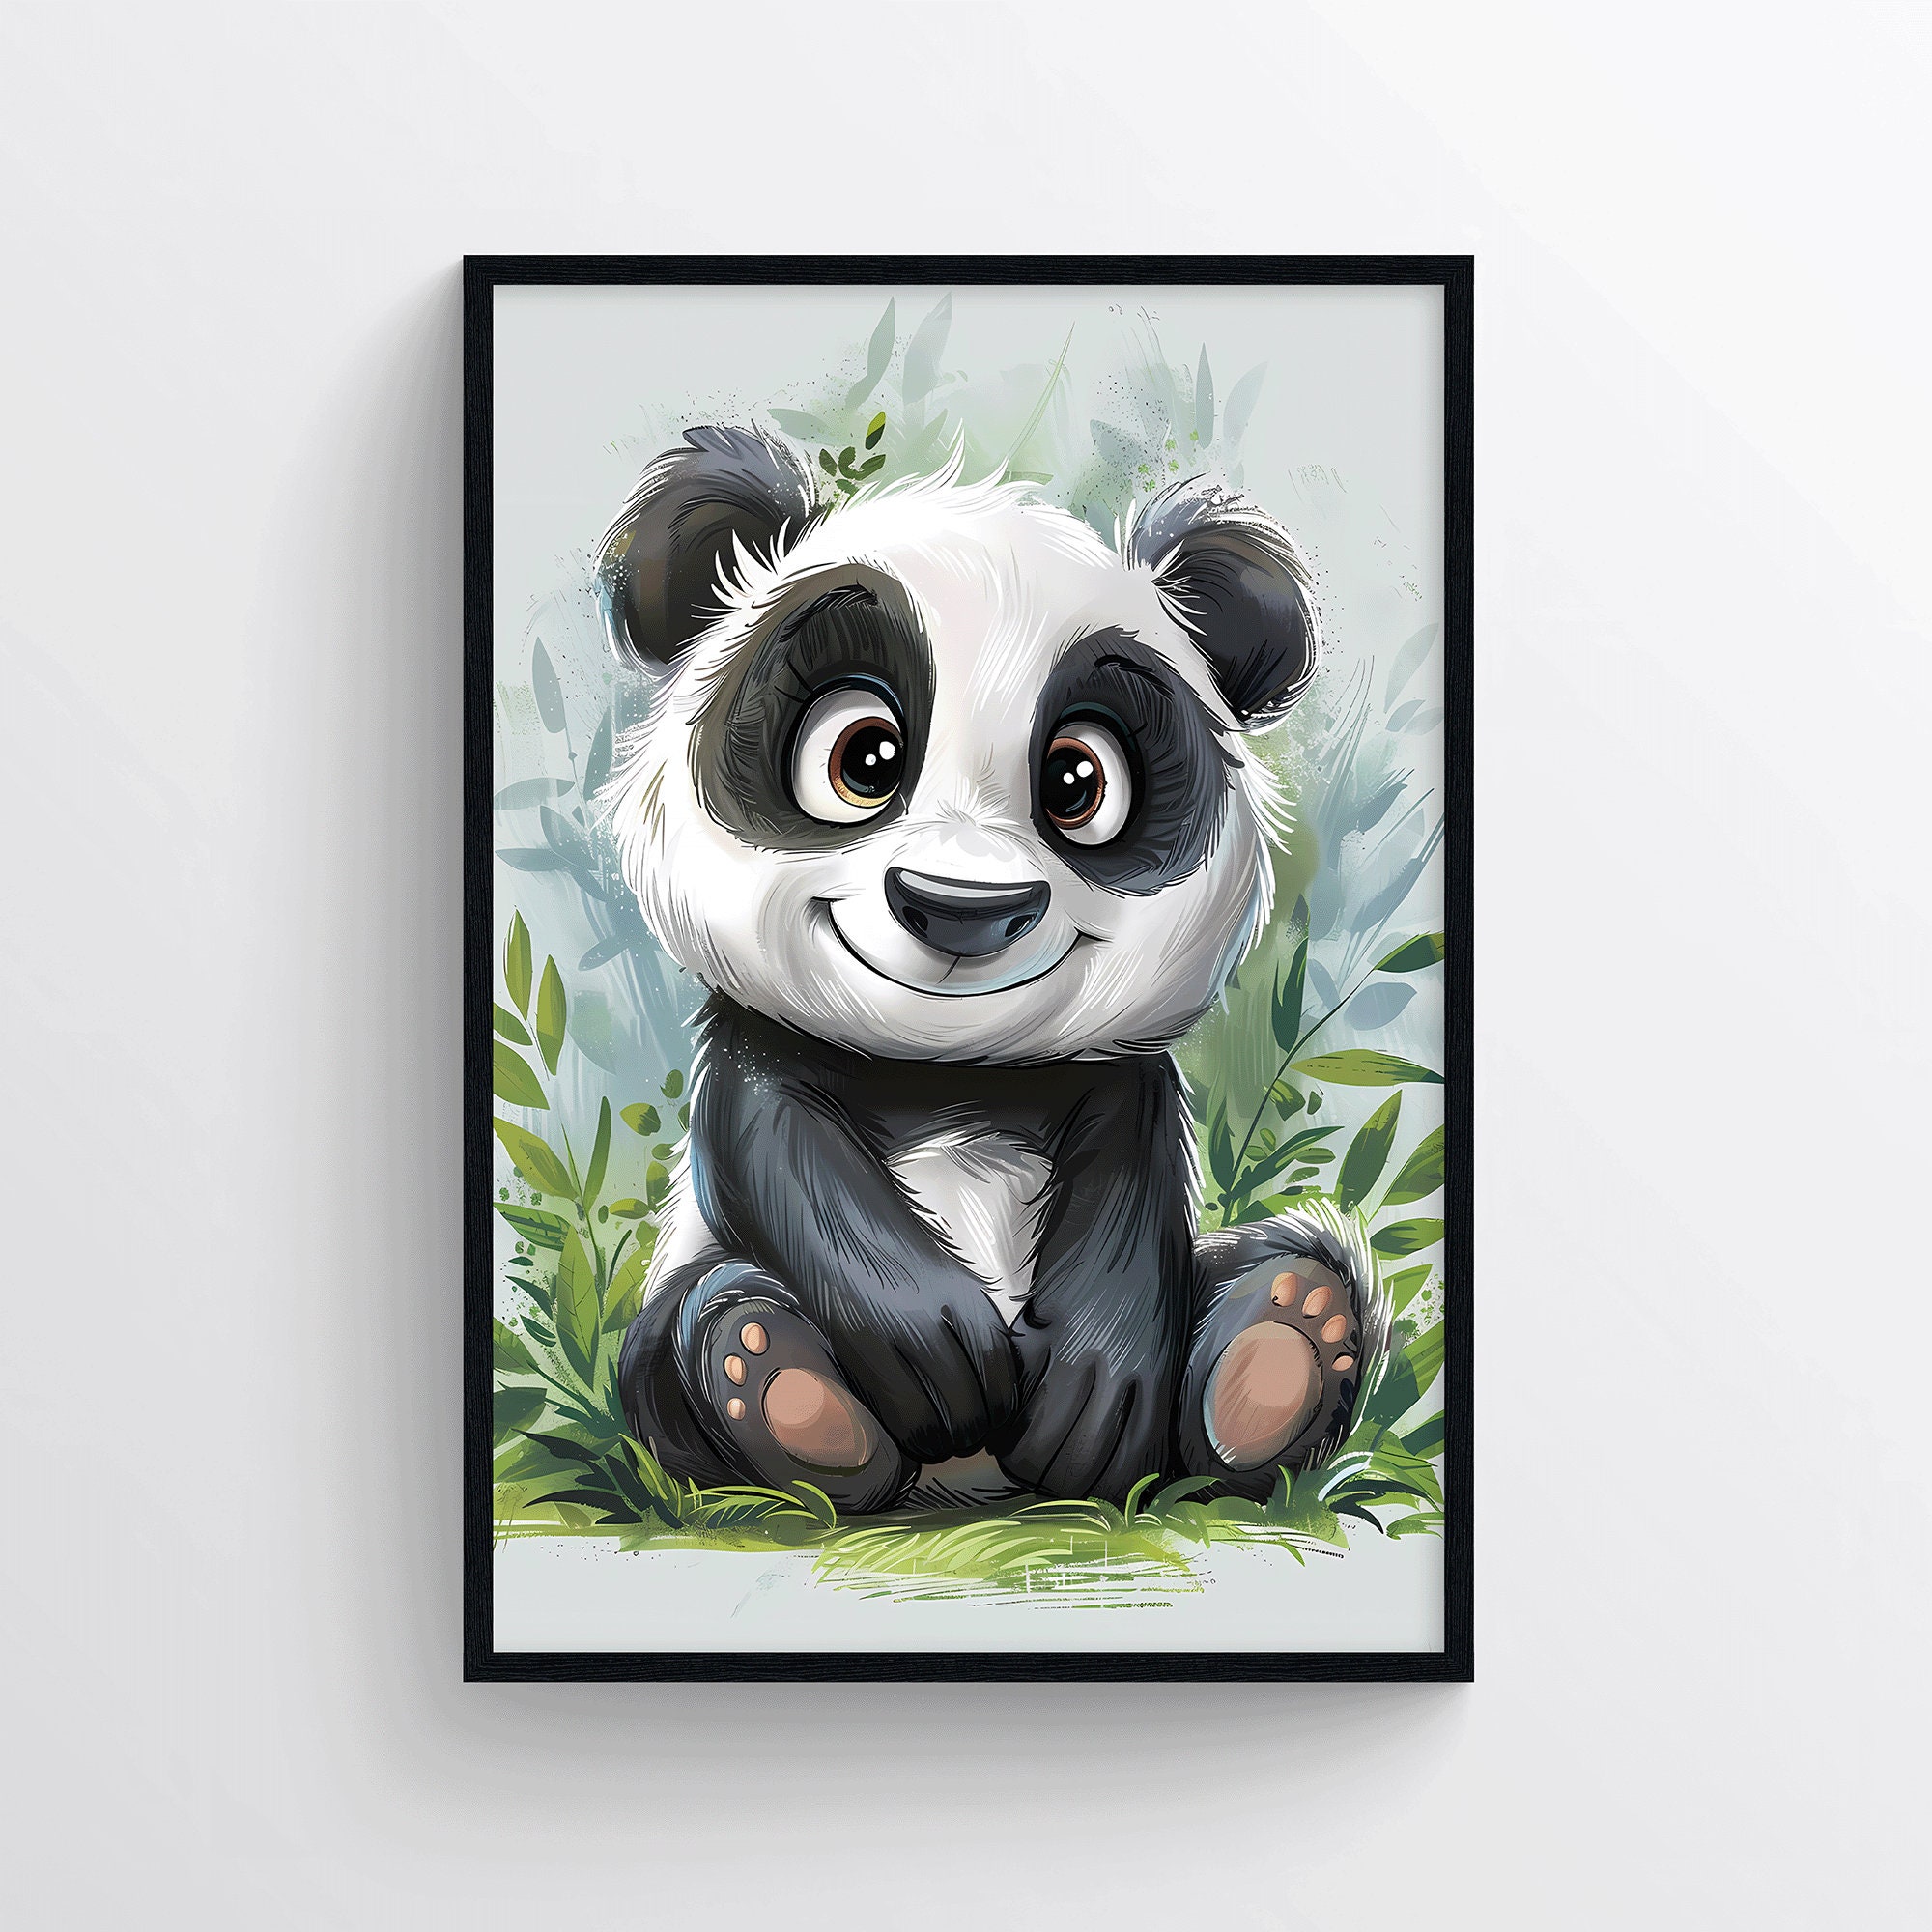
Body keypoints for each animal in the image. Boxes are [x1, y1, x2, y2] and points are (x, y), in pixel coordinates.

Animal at [595, 425, 1391, 1513]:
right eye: (862, 758)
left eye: (1077, 781)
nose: (961, 908)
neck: (950, 1069)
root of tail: (964, 1492)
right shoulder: (760, 1043)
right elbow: (786, 1159)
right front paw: (939, 1353)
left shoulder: (1118, 1076)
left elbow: (1127, 1199)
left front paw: (1091, 1395)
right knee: (678, 1340)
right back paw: (781, 1387)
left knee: (1266, 1271)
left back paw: (1278, 1346)